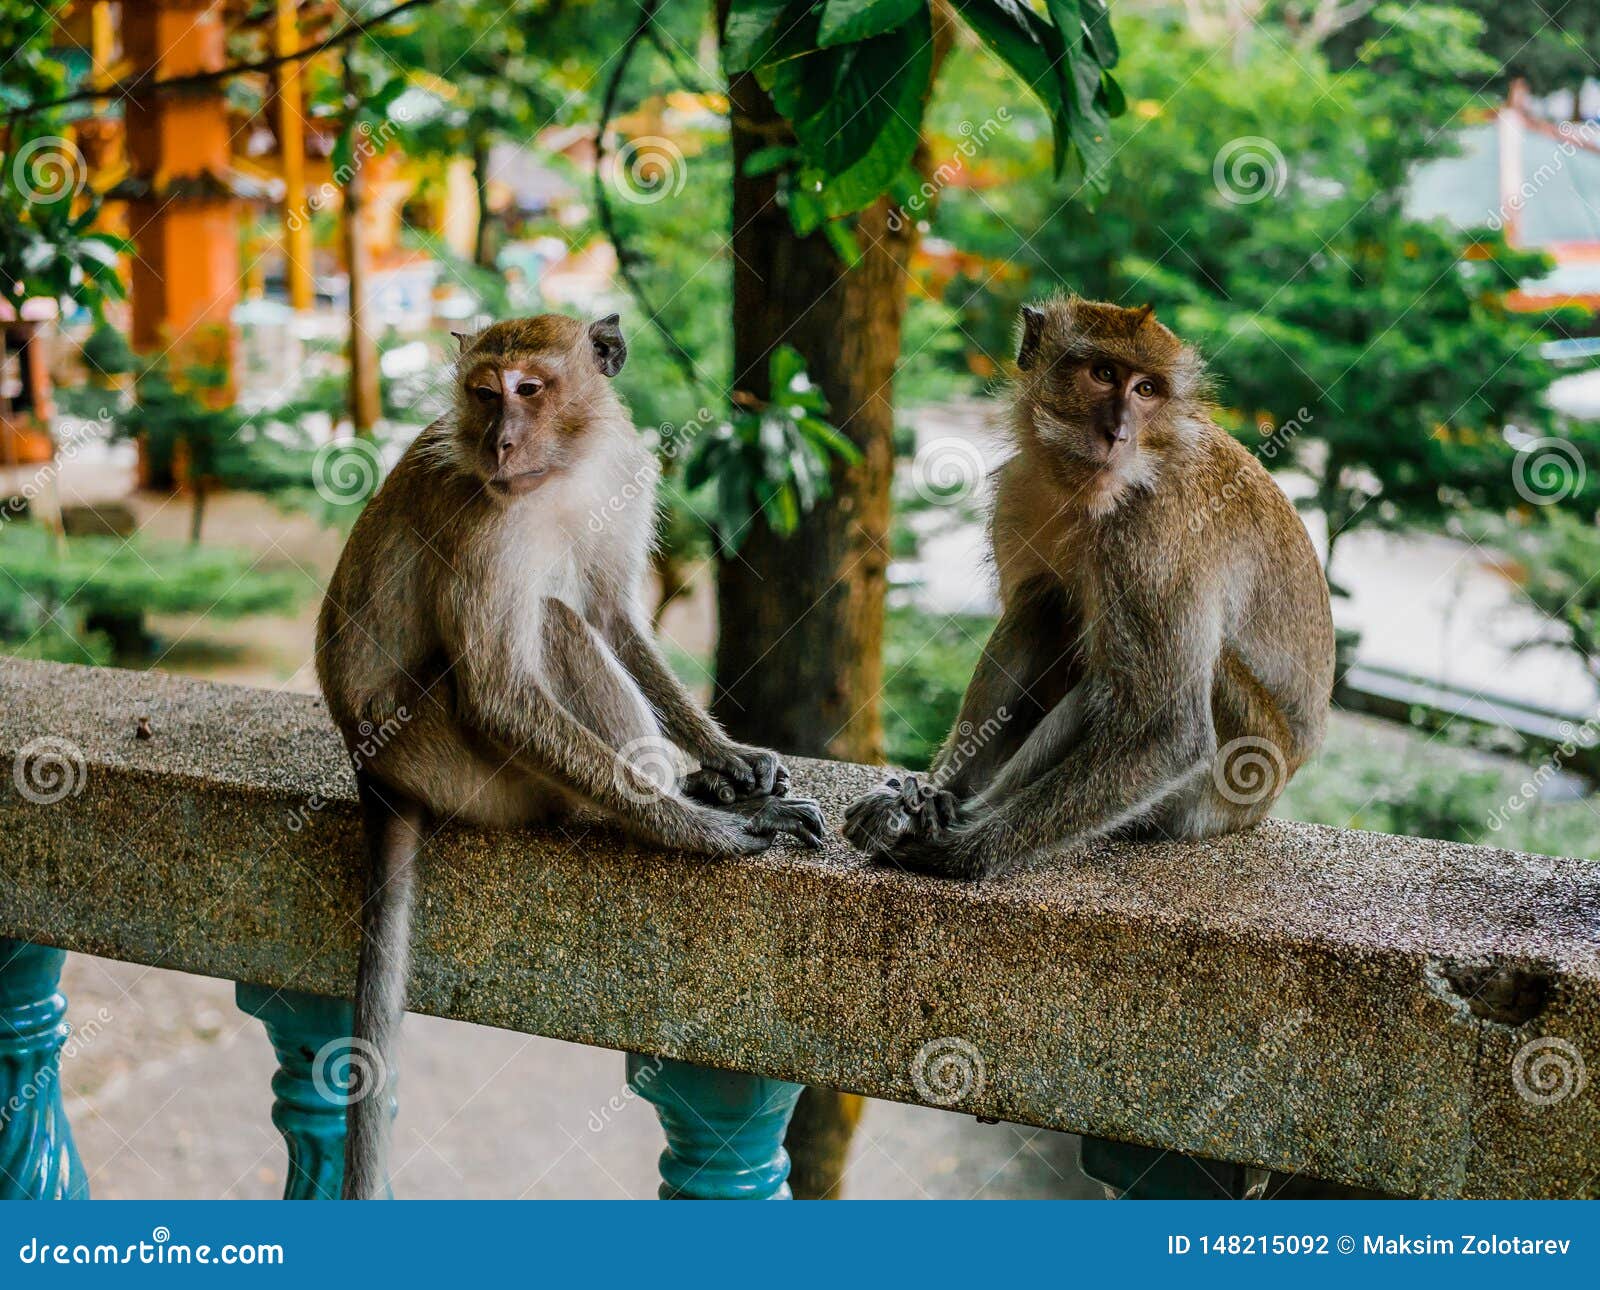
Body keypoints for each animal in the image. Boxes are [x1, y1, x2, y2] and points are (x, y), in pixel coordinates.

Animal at [314, 313, 824, 1199]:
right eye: (484, 392)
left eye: (530, 388)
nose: (501, 441)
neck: (562, 475)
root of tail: (371, 768)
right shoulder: (482, 523)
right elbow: (497, 690)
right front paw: (703, 830)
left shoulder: (623, 474)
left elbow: (615, 613)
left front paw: (727, 759)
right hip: (446, 756)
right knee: (549, 625)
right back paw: (665, 807)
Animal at [843, 295, 1334, 880]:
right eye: (1103, 374)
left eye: (1147, 389)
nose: (1117, 434)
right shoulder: (1016, 493)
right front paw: (930, 793)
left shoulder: (1152, 536)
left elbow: (1166, 732)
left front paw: (962, 851)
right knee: (1046, 601)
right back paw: (942, 799)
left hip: (1236, 776)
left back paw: (966, 817)